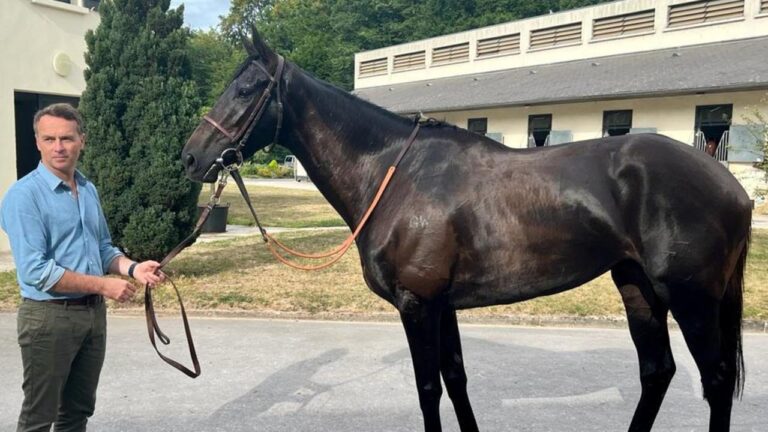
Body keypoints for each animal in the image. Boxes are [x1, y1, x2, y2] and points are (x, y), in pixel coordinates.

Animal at [181, 31, 752, 432]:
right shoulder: (444, 305)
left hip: (691, 297)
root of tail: (728, 181)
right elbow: (456, 380)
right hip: (638, 287)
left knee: (717, 379)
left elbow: (428, 389)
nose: (192, 157)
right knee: (658, 371)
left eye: (248, 88)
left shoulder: (418, 305)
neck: (396, 173)